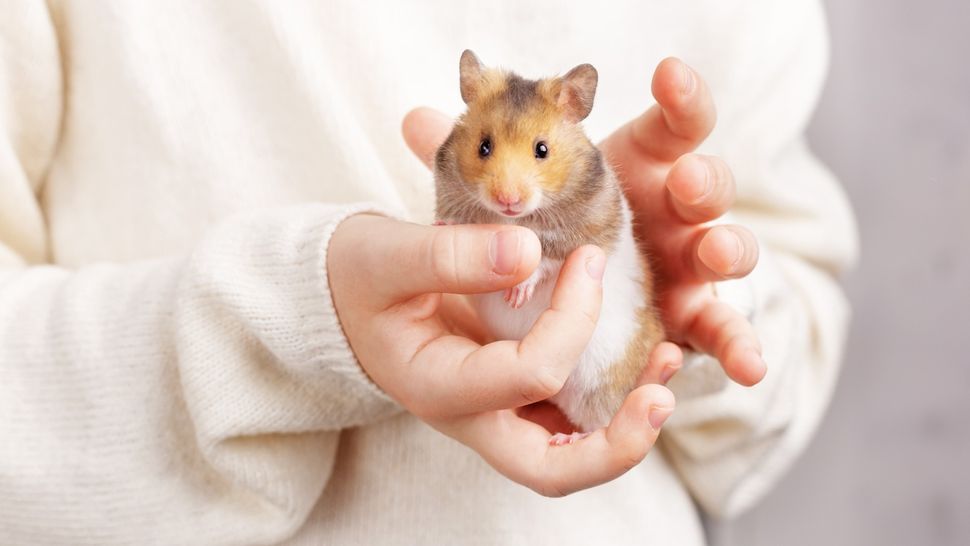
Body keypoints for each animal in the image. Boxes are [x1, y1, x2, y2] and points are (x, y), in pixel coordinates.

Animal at [433, 50, 664, 440]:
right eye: (483, 146)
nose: (507, 200)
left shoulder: (585, 234)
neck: (514, 219)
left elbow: (548, 259)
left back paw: (567, 438)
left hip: (602, 380)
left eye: (542, 150)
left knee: (604, 420)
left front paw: (516, 296)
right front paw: (437, 226)